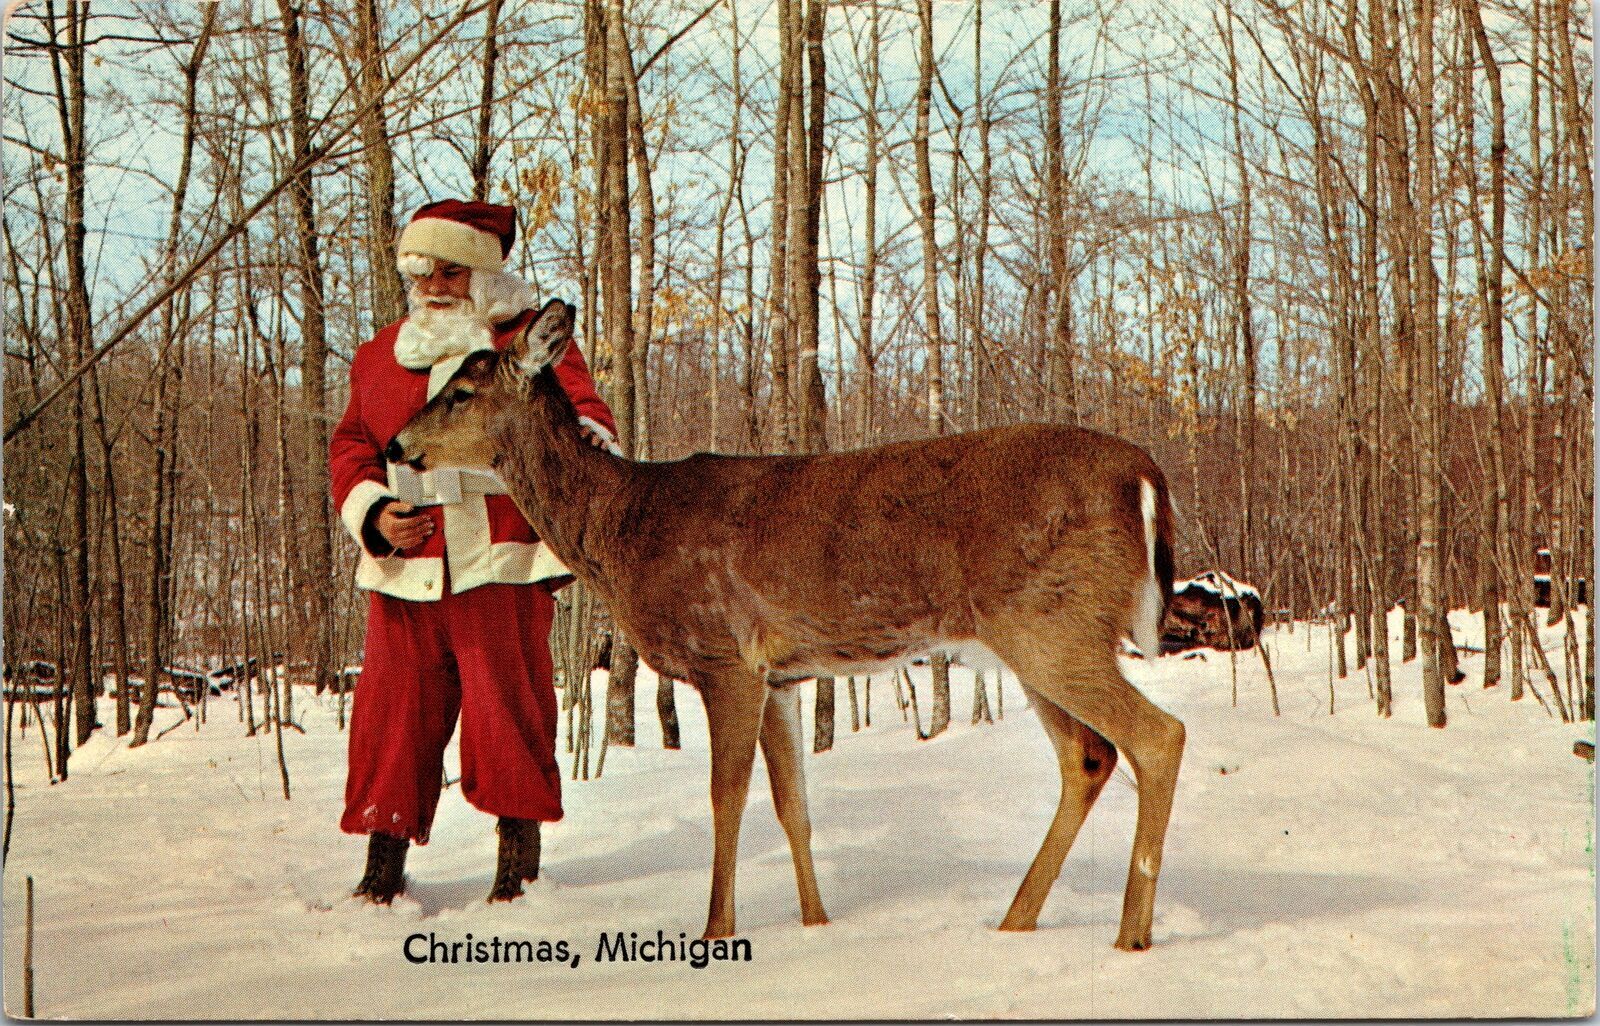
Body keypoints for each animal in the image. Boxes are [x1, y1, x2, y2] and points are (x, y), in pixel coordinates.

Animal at [387, 299, 1185, 951]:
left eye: (460, 392)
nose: (396, 446)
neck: (624, 529)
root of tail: (1146, 476)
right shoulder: (779, 675)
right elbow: (792, 804)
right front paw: (815, 923)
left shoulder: (722, 656)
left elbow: (726, 798)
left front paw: (715, 931)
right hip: (1037, 638)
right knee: (1089, 757)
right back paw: (1015, 921)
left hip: (1053, 625)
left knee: (1158, 735)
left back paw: (1130, 934)